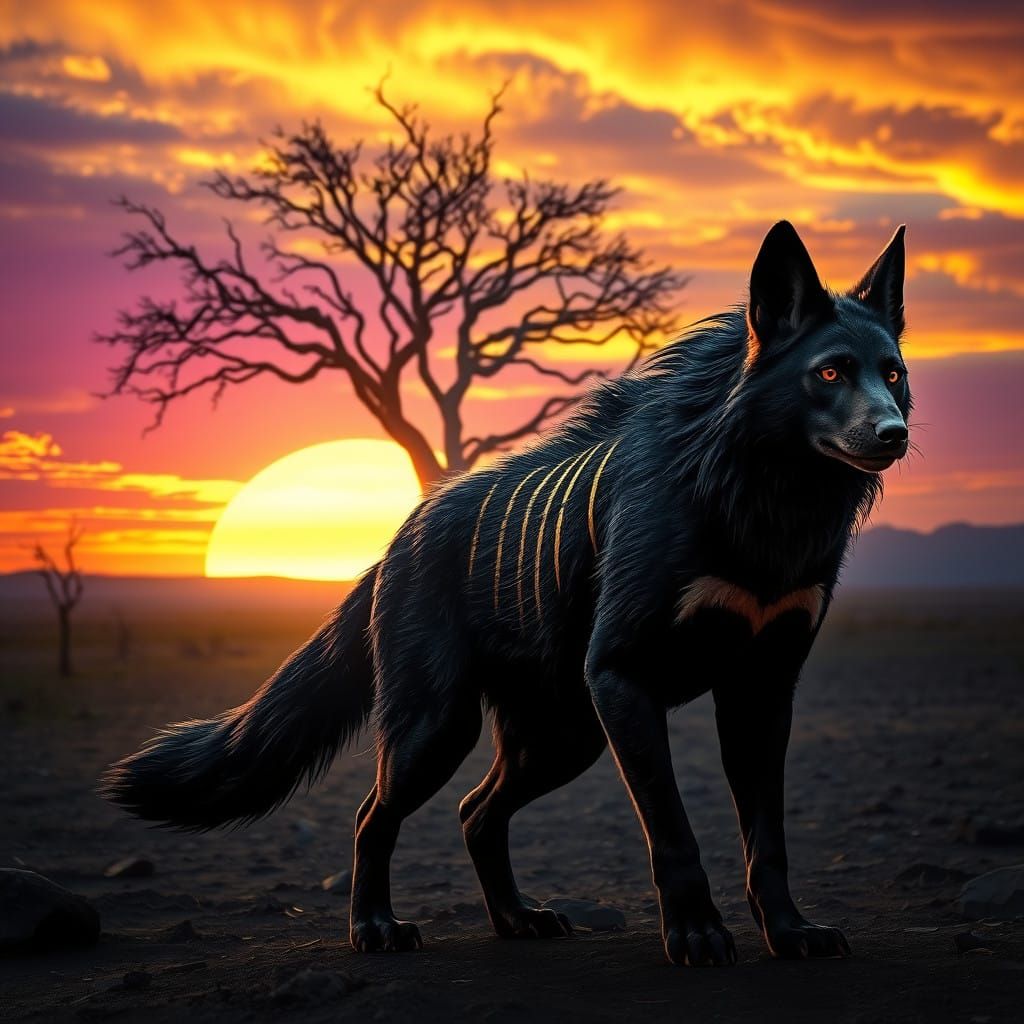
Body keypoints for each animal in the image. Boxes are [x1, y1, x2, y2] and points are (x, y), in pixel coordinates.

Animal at [104, 221, 912, 967]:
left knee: (473, 814)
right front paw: (696, 938)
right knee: (374, 816)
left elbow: (766, 840)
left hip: (561, 736)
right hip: (443, 728)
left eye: (895, 374)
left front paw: (790, 933)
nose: (895, 433)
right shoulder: (624, 677)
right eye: (831, 373)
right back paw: (375, 929)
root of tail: (401, 535)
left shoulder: (762, 690)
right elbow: (673, 835)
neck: (765, 505)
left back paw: (516, 920)